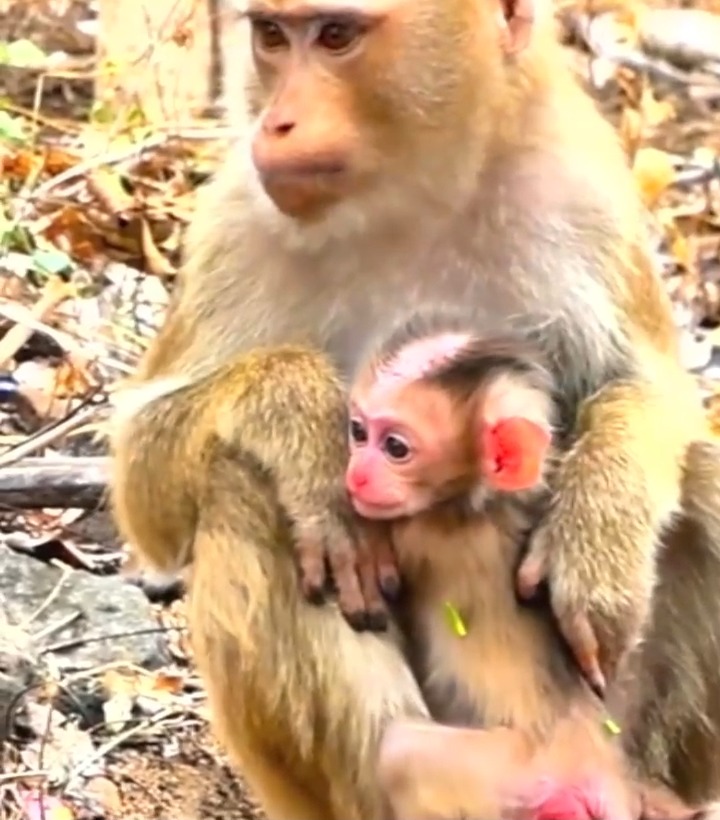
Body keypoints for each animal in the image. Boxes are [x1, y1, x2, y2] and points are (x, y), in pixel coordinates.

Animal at [109, 0, 720, 817]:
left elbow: (655, 395)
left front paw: (600, 530)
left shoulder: (580, 189)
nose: (276, 122)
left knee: (704, 476)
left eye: (336, 36)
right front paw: (302, 422)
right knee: (240, 484)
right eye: (271, 36)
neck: (420, 194)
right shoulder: (237, 214)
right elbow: (144, 479)